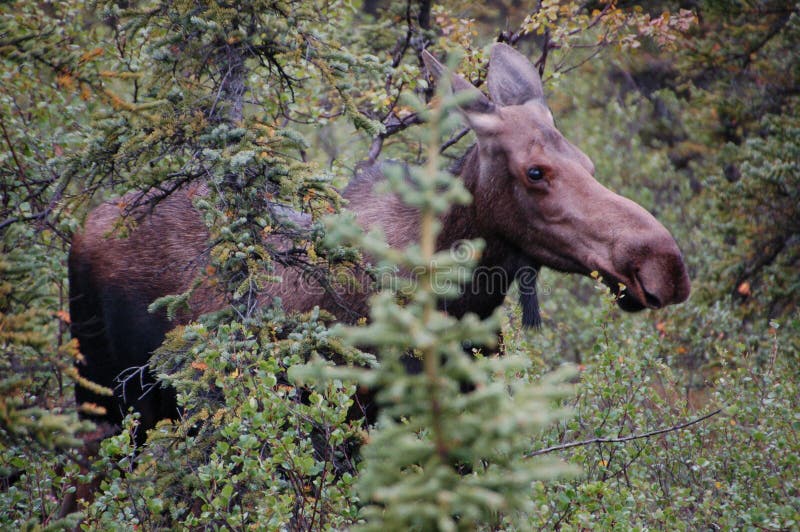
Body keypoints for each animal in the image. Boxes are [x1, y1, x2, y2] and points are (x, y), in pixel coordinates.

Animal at [68, 43, 690, 443]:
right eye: (536, 171)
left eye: (588, 163)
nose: (664, 264)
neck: (461, 302)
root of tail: (84, 226)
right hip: (106, 401)